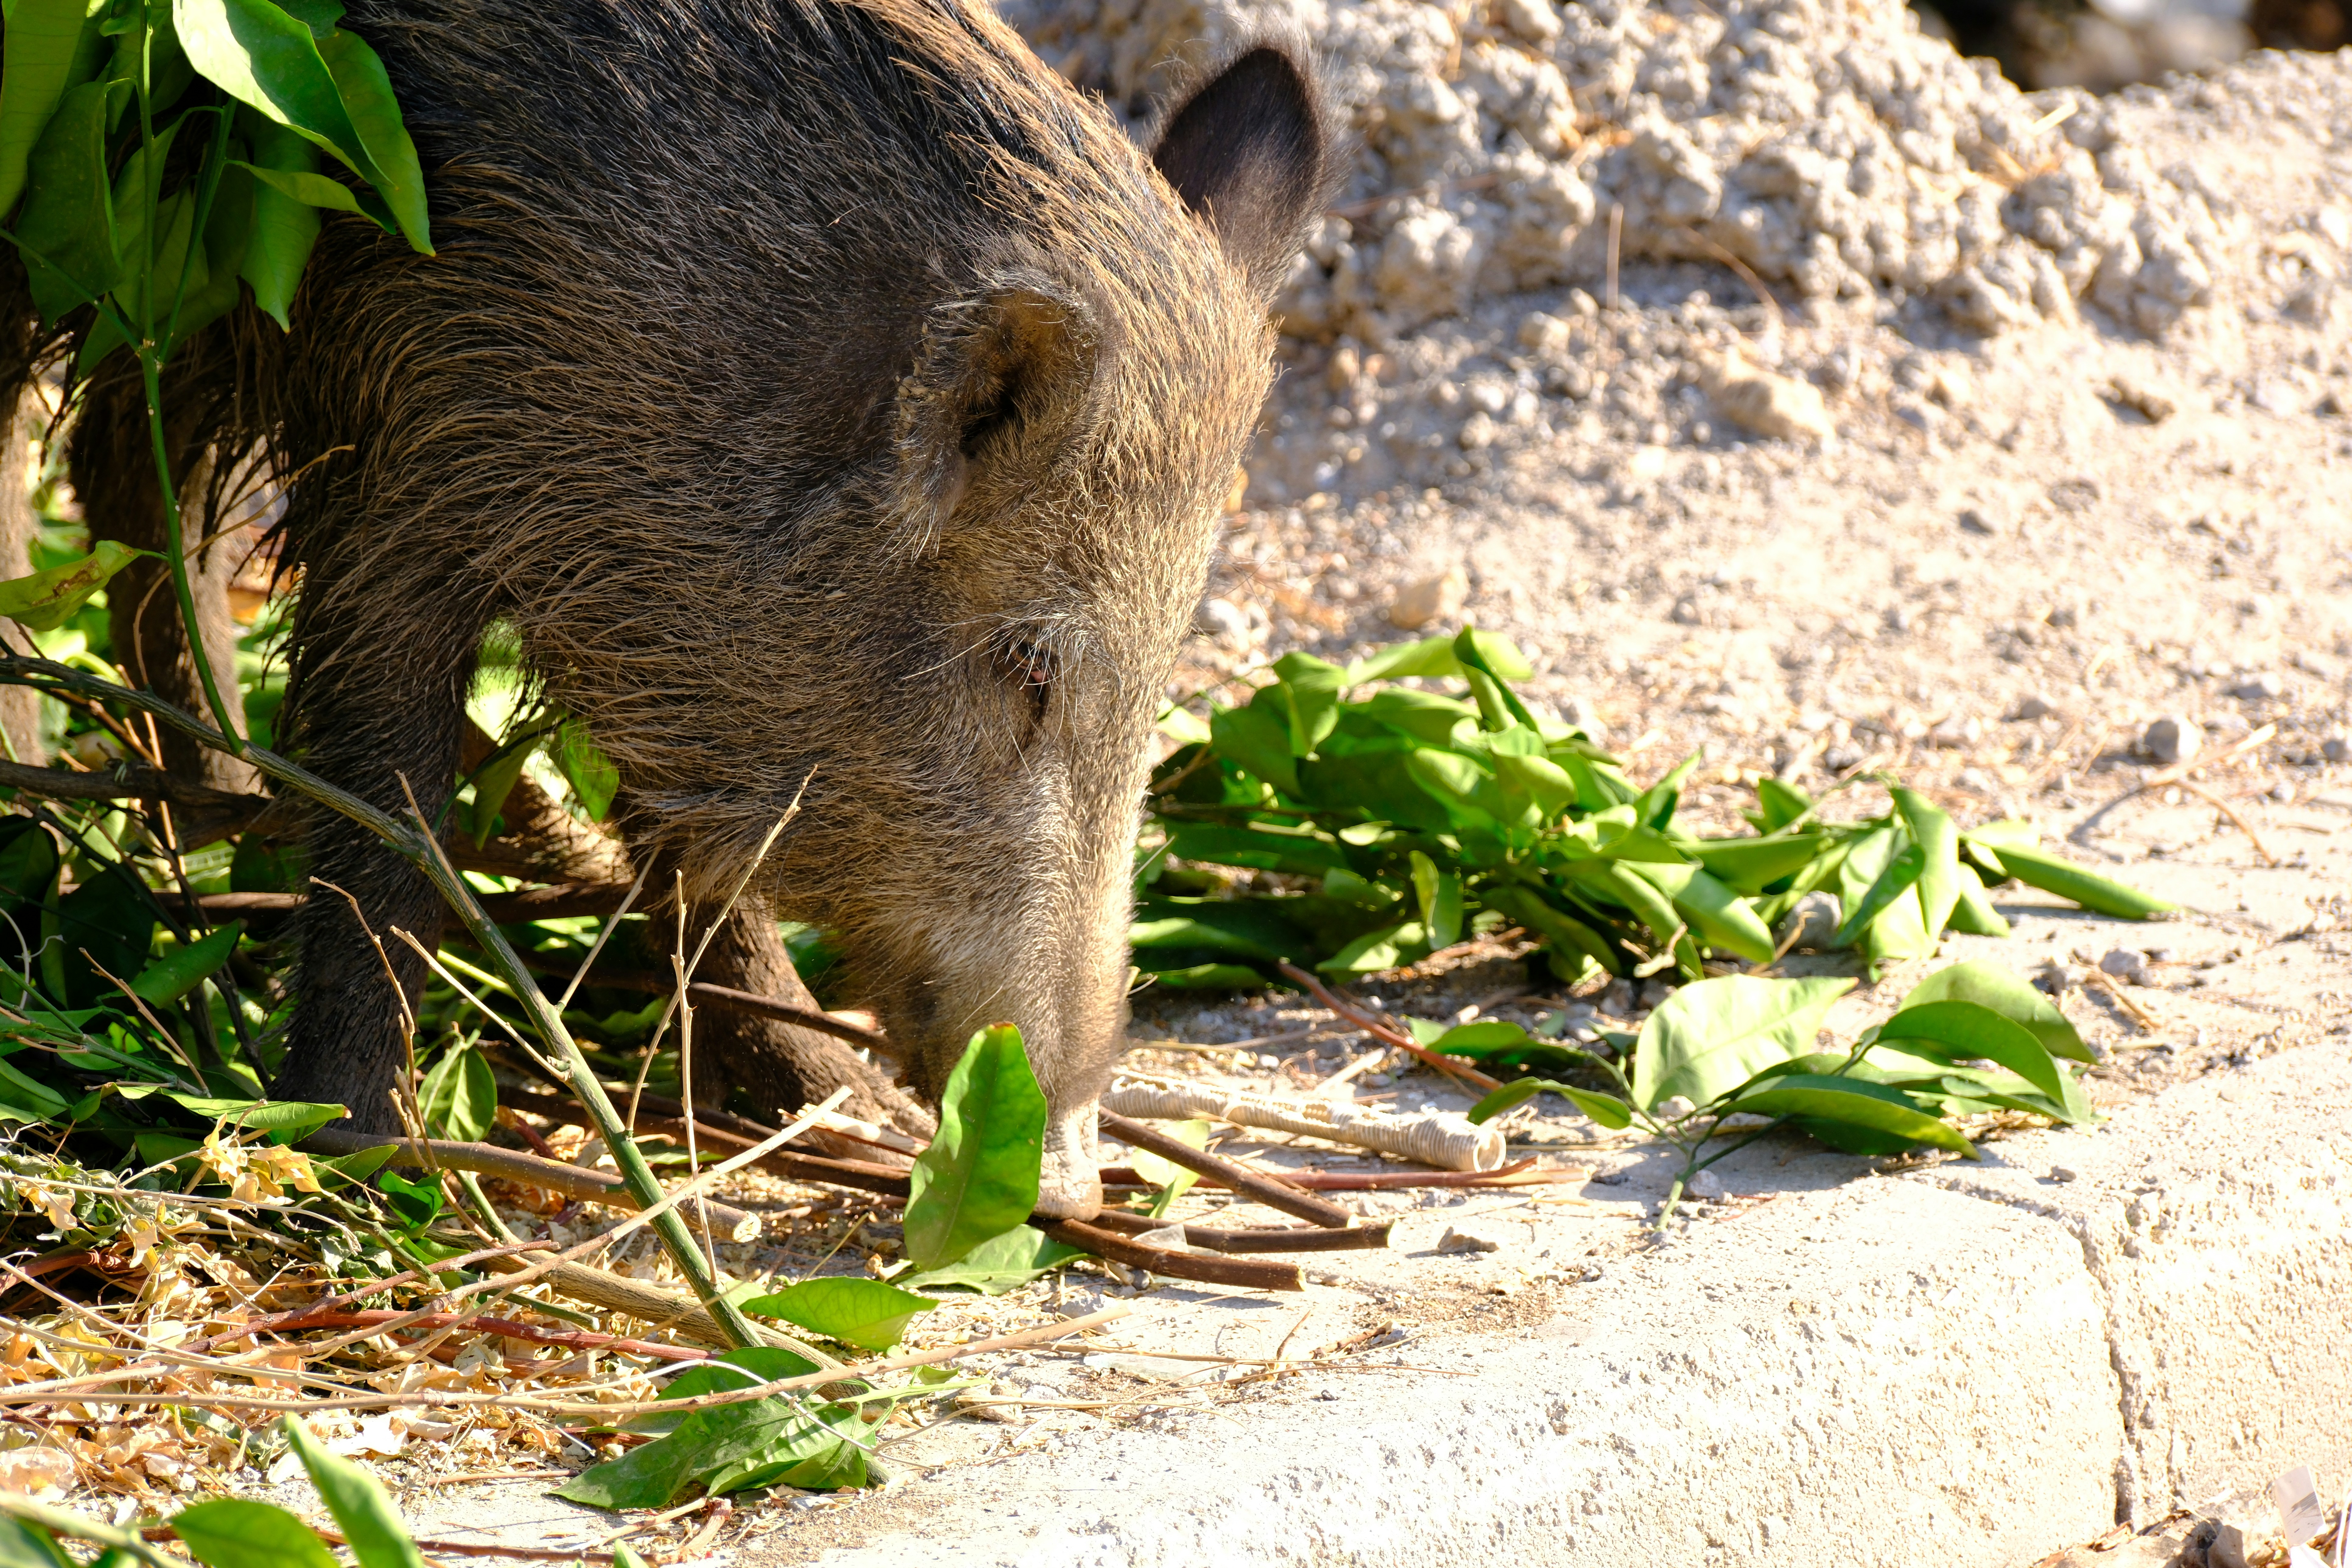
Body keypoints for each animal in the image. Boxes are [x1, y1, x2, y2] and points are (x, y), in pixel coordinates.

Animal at [221, 0, 1336, 1216]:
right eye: (1031, 664)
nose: (1069, 1188)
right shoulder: (386, 460)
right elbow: (386, 809)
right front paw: (357, 1159)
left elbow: (685, 847)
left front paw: (842, 1108)